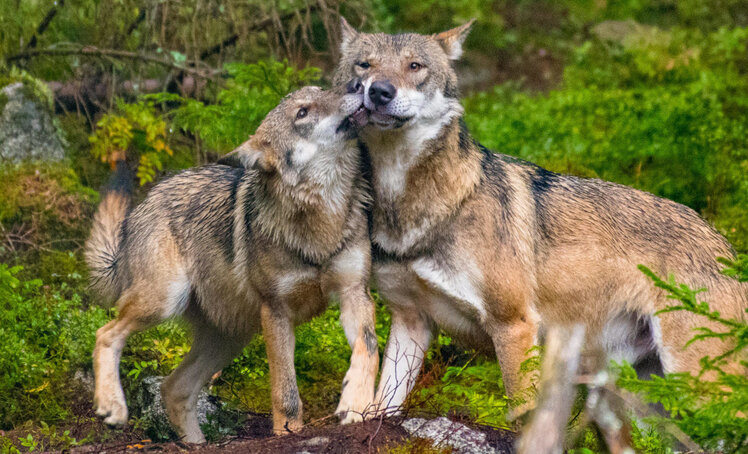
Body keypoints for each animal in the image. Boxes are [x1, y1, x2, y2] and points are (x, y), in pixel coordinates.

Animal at [85, 85, 377, 443]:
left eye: (322, 89)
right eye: (302, 112)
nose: (356, 85)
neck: (322, 217)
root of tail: (142, 207)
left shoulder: (355, 293)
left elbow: (368, 351)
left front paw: (357, 405)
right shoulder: (276, 311)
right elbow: (287, 393)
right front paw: (289, 433)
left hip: (231, 338)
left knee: (173, 388)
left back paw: (196, 445)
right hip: (165, 302)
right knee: (105, 334)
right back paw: (112, 406)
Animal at [333, 18, 748, 415]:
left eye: (415, 66)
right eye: (364, 65)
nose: (379, 91)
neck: (409, 206)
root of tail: (727, 246)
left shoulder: (514, 325)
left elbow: (520, 413)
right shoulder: (411, 322)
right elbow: (380, 406)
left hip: (695, 383)